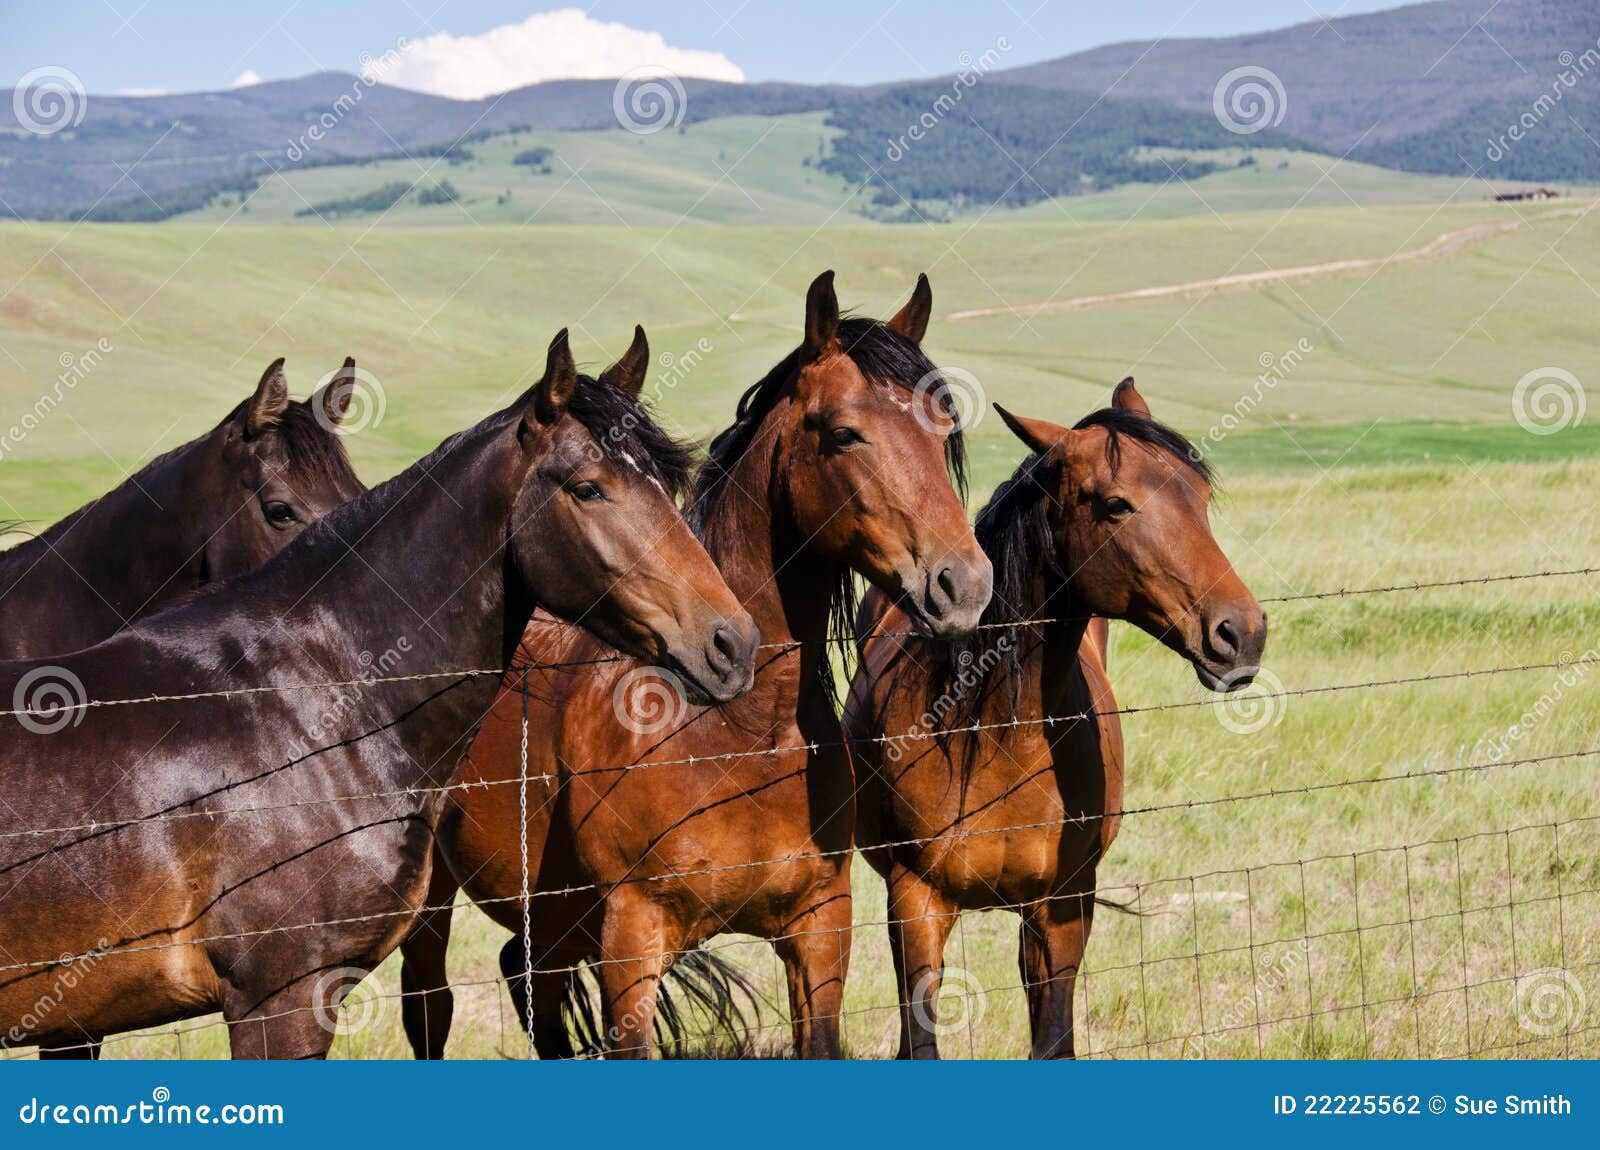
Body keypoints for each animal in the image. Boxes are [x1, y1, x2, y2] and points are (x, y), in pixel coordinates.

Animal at [399, 271, 993, 1059]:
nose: (965, 584)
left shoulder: (820, 926)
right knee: (429, 1009)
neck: (737, 731)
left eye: (941, 428)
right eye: (843, 432)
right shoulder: (631, 938)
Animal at [842, 378, 1267, 1059]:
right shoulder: (915, 902)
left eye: (1199, 497)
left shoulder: (1065, 906)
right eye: (1116, 505)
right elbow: (921, 1037)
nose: (1241, 633)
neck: (995, 736)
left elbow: (1053, 1039)